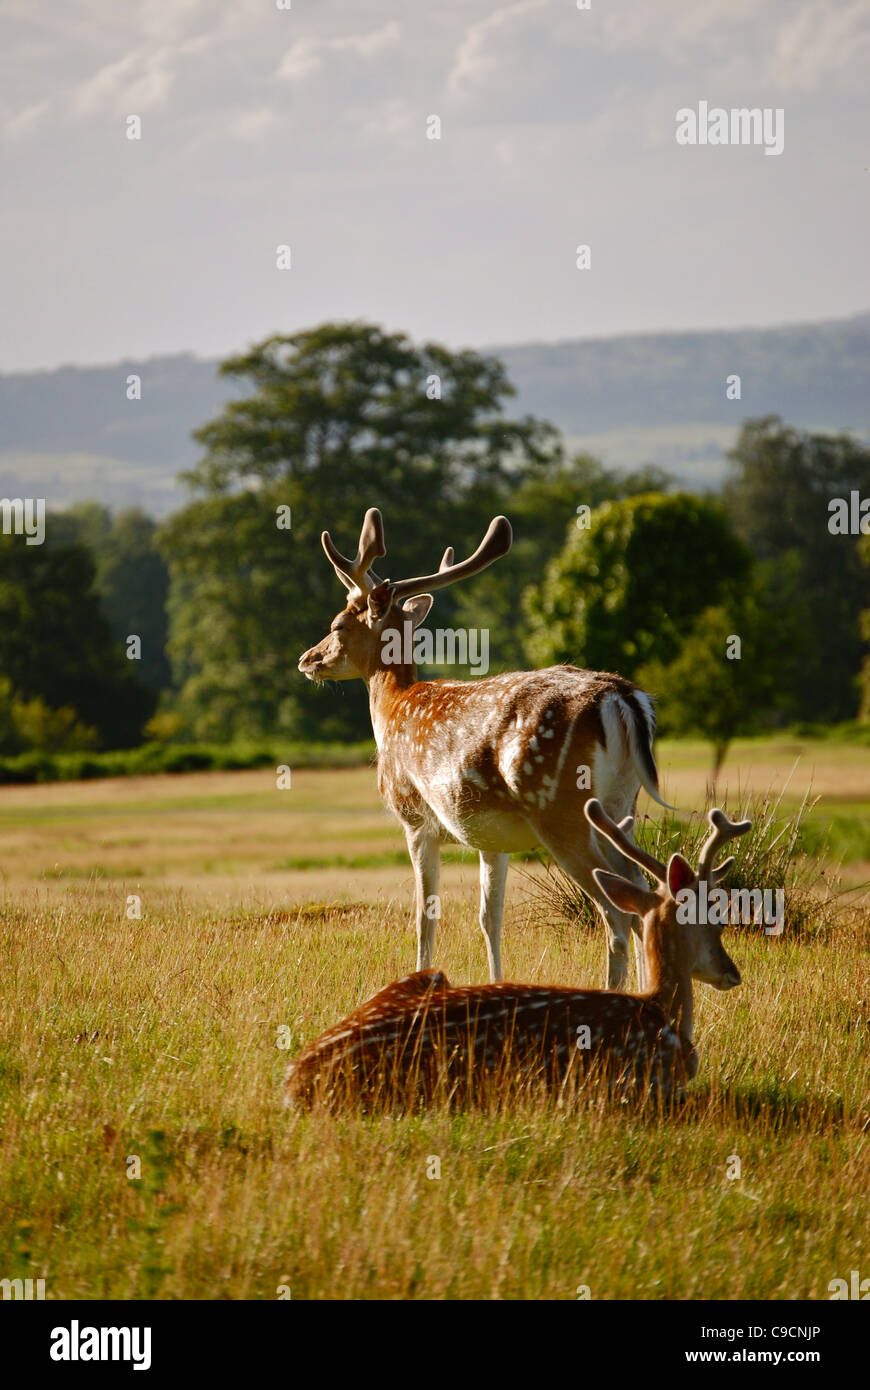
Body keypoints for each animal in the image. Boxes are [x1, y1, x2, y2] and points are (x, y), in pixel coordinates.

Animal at [299, 506, 674, 989]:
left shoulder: (414, 816)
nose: (307, 659)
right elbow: (489, 917)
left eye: (338, 624)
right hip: (621, 804)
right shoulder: (490, 836)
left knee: (613, 911)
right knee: (640, 892)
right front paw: (496, 984)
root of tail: (623, 698)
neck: (393, 707)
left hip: (561, 809)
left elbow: (425, 916)